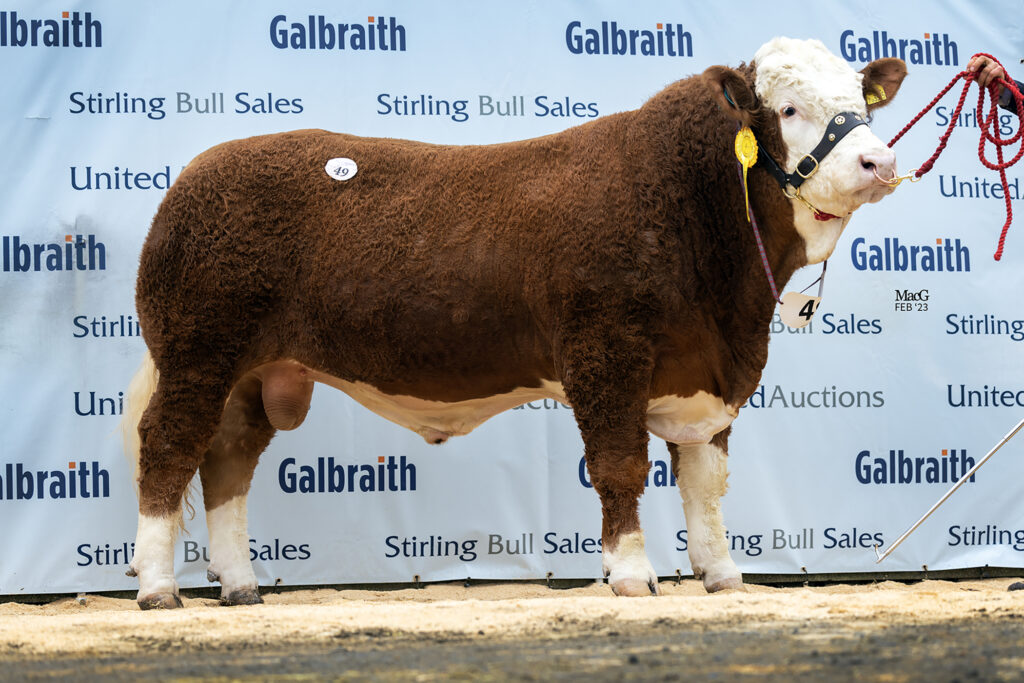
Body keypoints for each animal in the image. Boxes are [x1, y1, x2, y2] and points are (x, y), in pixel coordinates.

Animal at [122, 37, 906, 608]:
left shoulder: (708, 378)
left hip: (251, 375)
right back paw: (159, 589)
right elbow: (620, 465)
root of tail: (195, 174)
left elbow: (705, 481)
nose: (879, 159)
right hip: (198, 351)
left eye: (857, 101)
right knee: (167, 448)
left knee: (228, 460)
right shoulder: (604, 350)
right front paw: (631, 574)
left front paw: (722, 574)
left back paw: (240, 586)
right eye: (790, 109)